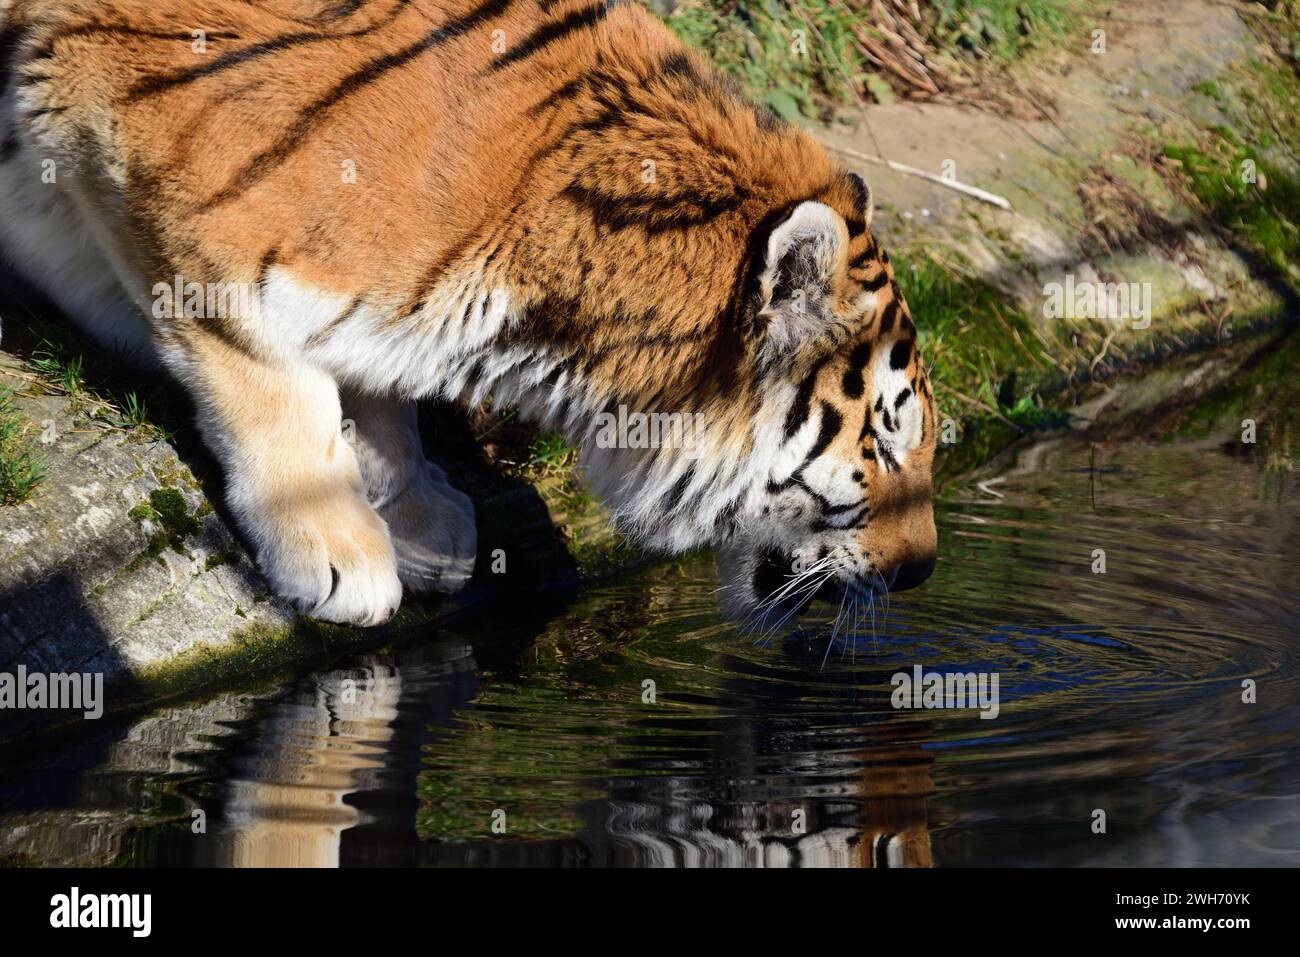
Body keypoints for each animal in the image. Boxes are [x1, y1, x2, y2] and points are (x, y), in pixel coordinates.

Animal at [0, 0, 938, 628]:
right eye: (883, 442)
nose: (923, 570)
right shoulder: (178, 202)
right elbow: (280, 397)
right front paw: (338, 548)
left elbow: (376, 388)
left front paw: (420, 519)